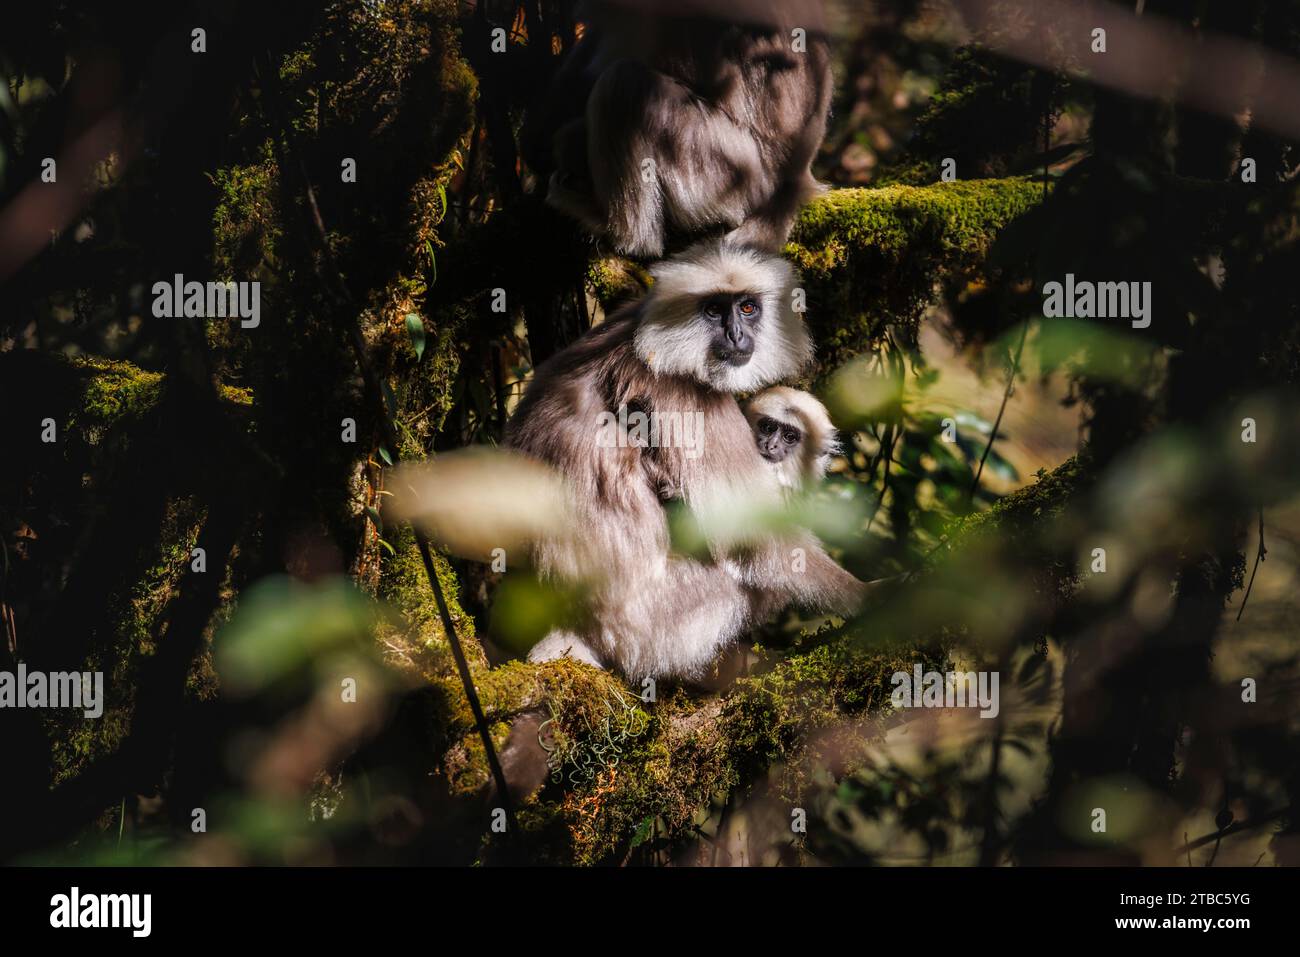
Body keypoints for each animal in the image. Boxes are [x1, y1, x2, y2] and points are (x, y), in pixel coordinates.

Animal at [503, 238, 867, 681]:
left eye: (748, 308)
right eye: (713, 310)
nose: (736, 334)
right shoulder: (685, 391)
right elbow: (753, 539)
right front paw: (870, 596)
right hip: (665, 627)